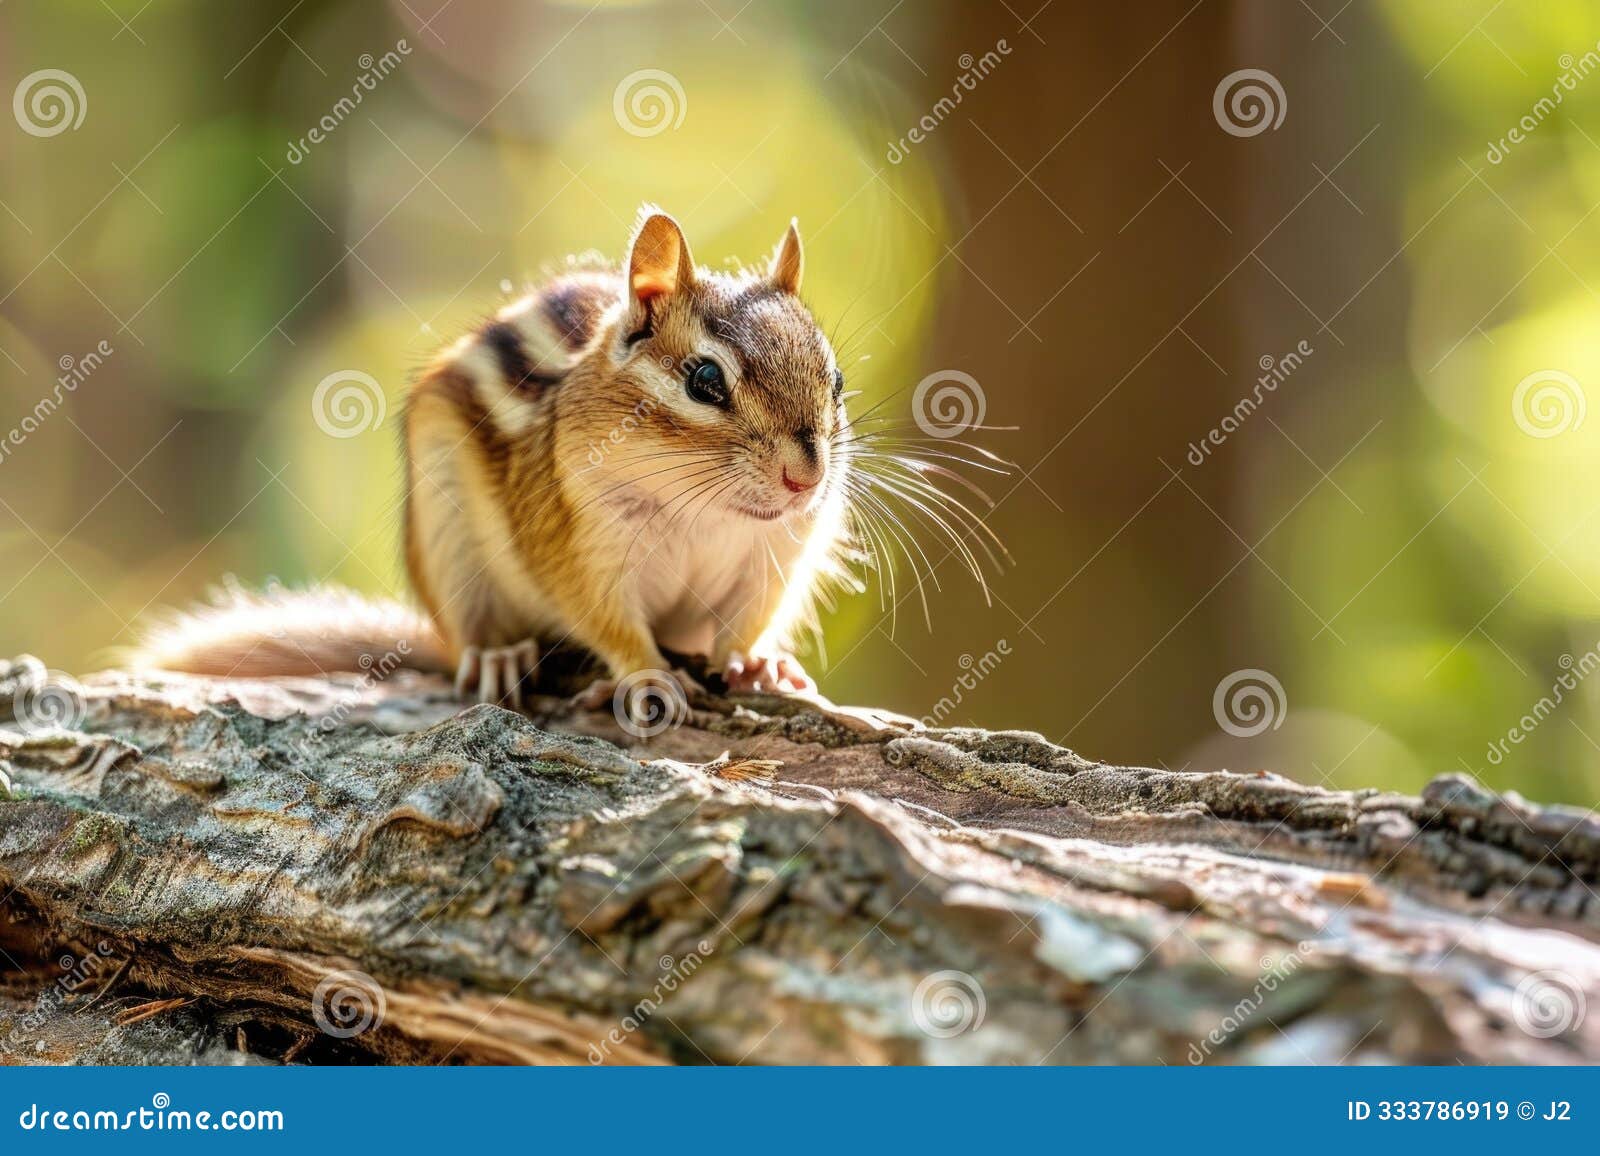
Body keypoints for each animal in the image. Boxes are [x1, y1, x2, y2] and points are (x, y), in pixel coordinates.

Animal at [136, 207, 865, 726]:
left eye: (834, 381)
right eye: (705, 381)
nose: (805, 479)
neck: (705, 510)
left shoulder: (774, 556)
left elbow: (747, 623)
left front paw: (758, 662)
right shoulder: (573, 537)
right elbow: (604, 618)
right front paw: (647, 674)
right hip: (448, 539)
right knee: (468, 638)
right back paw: (497, 654)